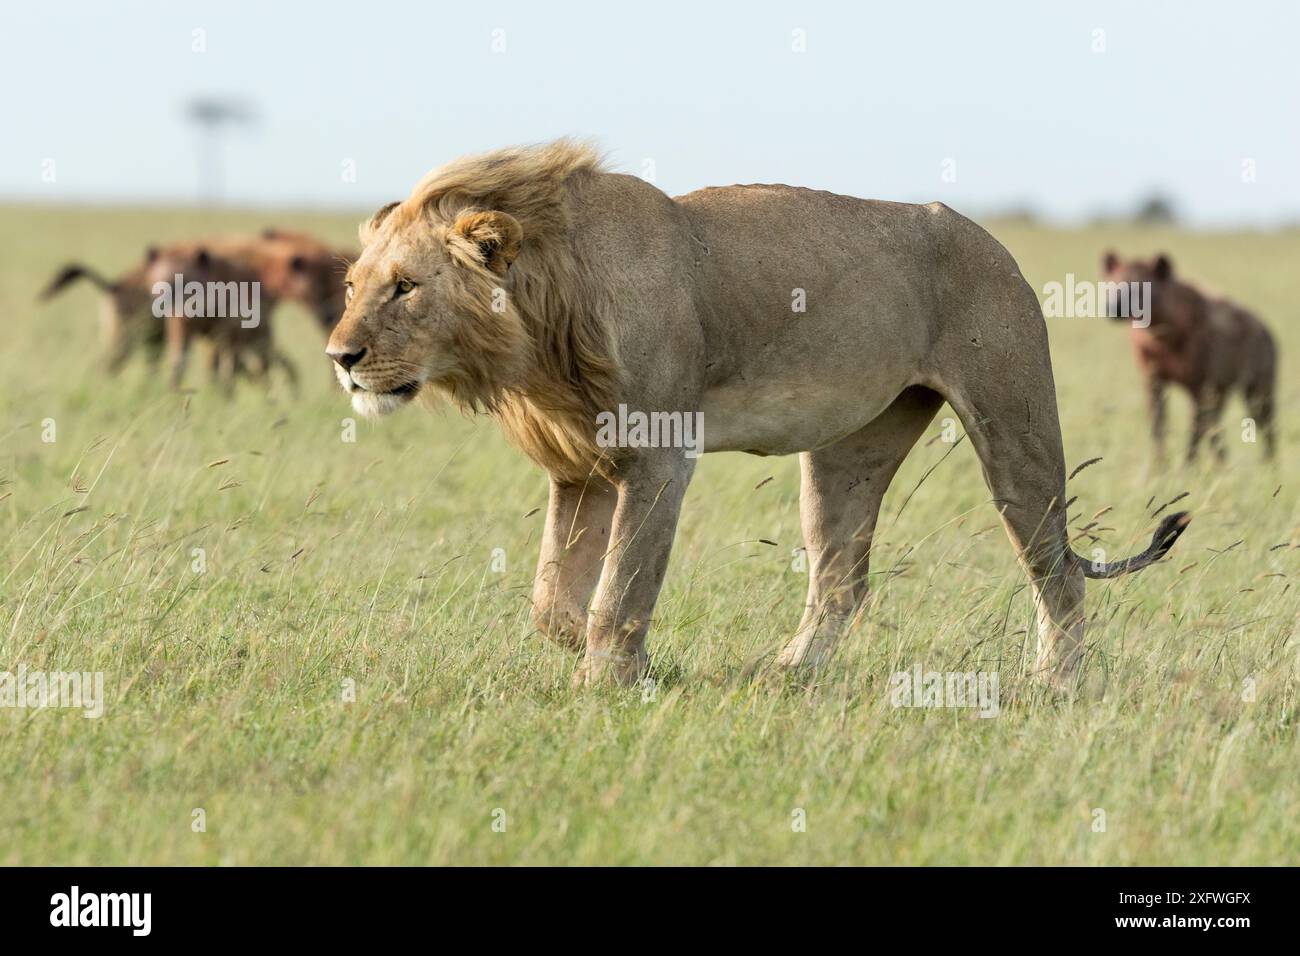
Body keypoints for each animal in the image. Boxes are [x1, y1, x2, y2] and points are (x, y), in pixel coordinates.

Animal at [326, 139, 1190, 688]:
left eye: (406, 288)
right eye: (351, 286)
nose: (341, 357)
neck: (541, 325)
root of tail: (996, 244)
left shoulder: (659, 455)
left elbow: (622, 584)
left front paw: (612, 678)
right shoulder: (580, 469)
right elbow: (552, 600)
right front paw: (617, 659)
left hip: (1014, 428)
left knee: (1056, 570)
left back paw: (1056, 684)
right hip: (848, 454)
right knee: (842, 581)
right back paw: (788, 672)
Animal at [1102, 251, 1277, 461]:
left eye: (1139, 287)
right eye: (1113, 284)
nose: (1113, 307)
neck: (1163, 337)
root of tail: (1266, 329)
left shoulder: (1202, 384)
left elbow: (1194, 432)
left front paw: (1186, 467)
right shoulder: (1152, 377)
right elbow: (1158, 424)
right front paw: (1159, 466)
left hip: (1258, 382)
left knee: (1264, 421)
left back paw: (1269, 465)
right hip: (1223, 390)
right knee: (1217, 426)